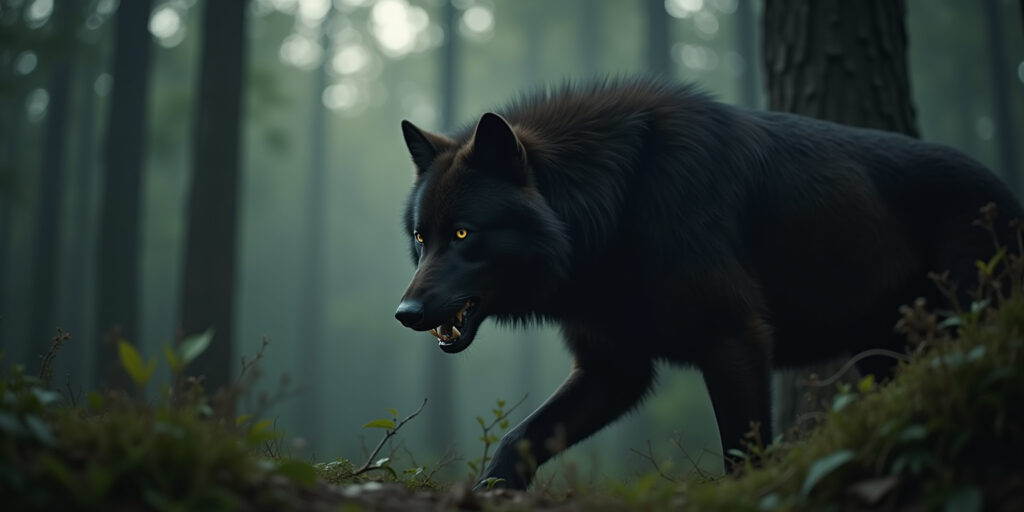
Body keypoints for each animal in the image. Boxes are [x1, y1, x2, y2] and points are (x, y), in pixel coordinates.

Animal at [393, 79, 1022, 490]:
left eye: (464, 232)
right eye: (422, 238)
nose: (405, 313)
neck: (621, 204)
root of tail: (1007, 193)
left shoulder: (733, 334)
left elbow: (745, 454)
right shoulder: (613, 369)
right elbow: (516, 440)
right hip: (888, 353)